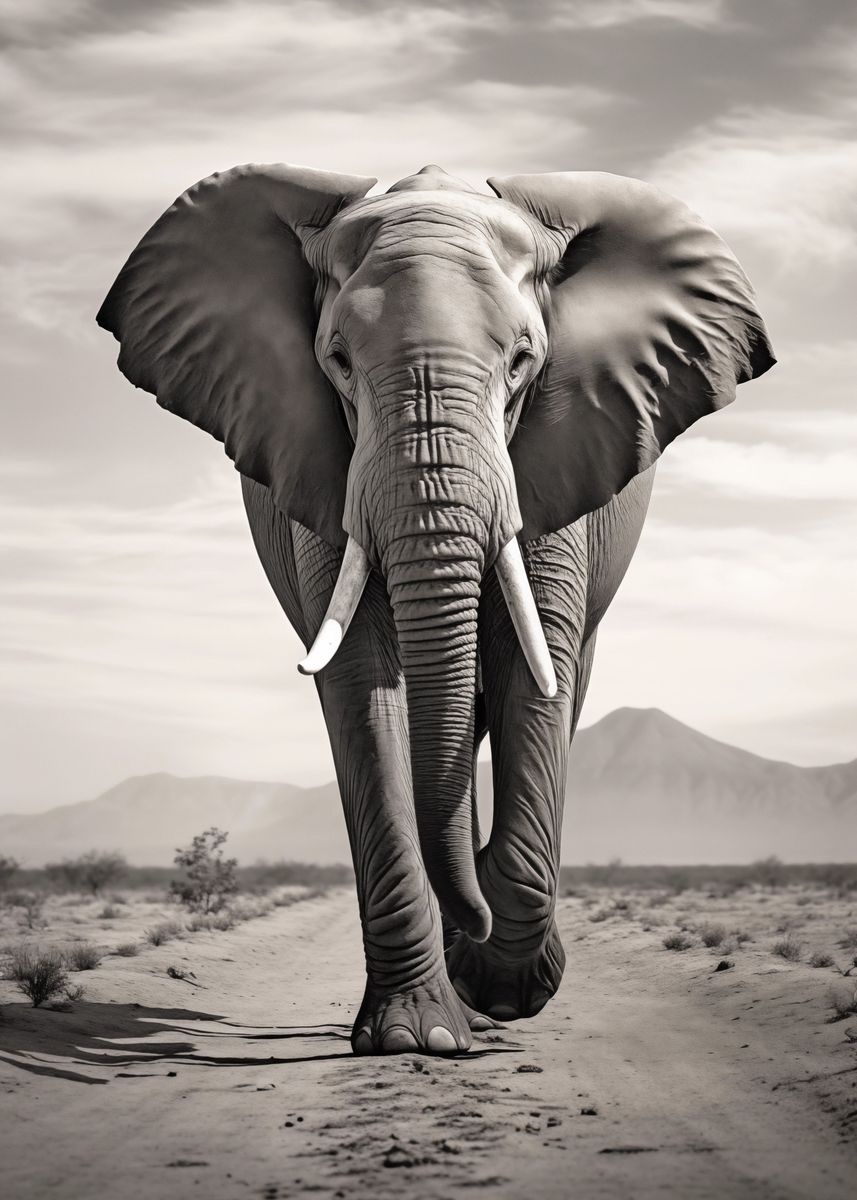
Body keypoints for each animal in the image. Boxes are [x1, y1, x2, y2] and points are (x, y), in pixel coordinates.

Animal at [98, 162, 773, 1055]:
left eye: (522, 361)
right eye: (336, 360)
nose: (474, 935)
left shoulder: (555, 462)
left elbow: (533, 666)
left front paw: (501, 982)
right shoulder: (327, 476)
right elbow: (360, 682)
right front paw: (418, 1036)